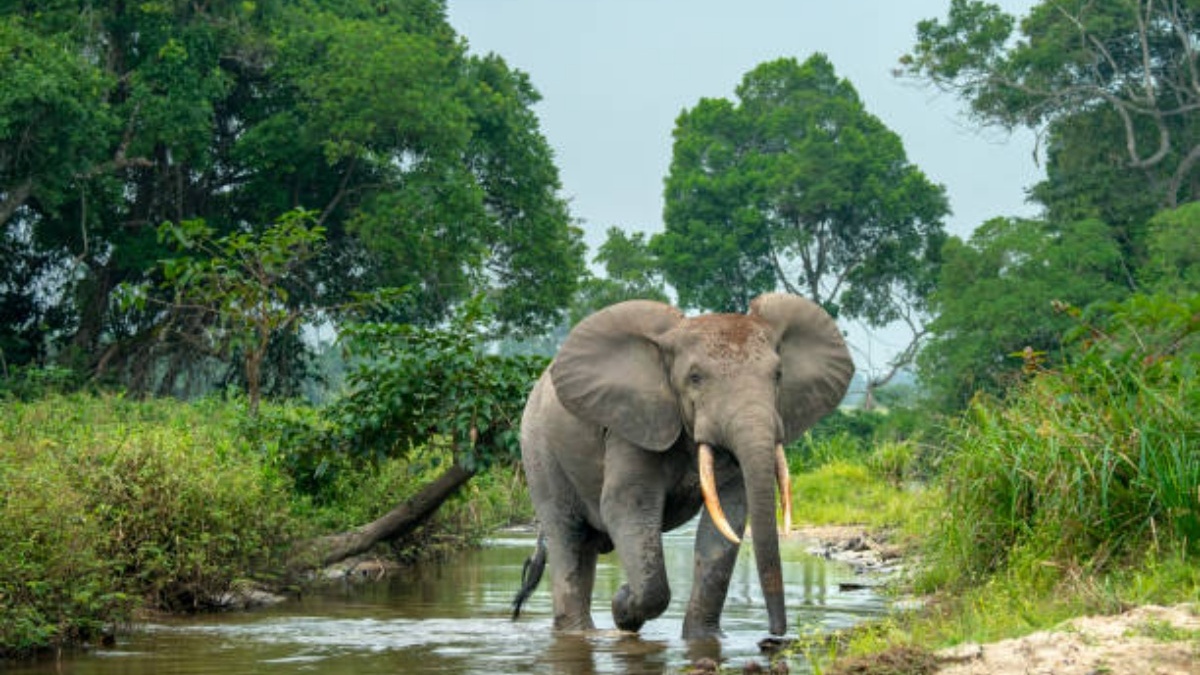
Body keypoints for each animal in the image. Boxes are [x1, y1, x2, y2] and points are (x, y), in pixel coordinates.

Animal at [510, 293, 854, 639]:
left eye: (778, 376)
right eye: (695, 378)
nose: (776, 633)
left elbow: (727, 516)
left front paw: (704, 639)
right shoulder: (632, 422)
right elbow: (626, 504)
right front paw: (622, 606)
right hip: (538, 448)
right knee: (567, 535)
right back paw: (579, 634)